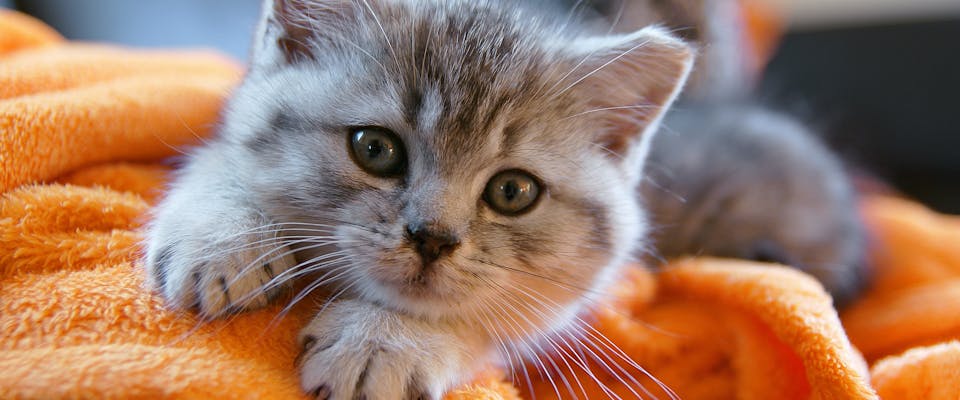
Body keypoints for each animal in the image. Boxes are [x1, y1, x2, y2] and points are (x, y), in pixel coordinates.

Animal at [146, 0, 692, 400]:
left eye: (513, 191)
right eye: (374, 148)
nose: (432, 238)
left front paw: (386, 340)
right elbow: (223, 155)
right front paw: (223, 239)